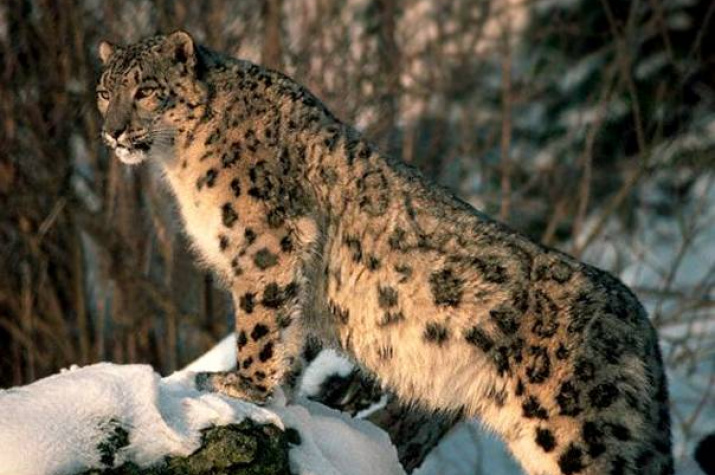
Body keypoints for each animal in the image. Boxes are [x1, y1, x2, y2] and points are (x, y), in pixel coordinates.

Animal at [95, 30, 673, 475]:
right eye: (104, 91)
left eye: (146, 90)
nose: (113, 131)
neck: (179, 165)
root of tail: (639, 319)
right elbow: (291, 335)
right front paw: (280, 397)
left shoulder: (266, 243)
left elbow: (262, 323)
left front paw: (239, 385)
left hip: (584, 437)